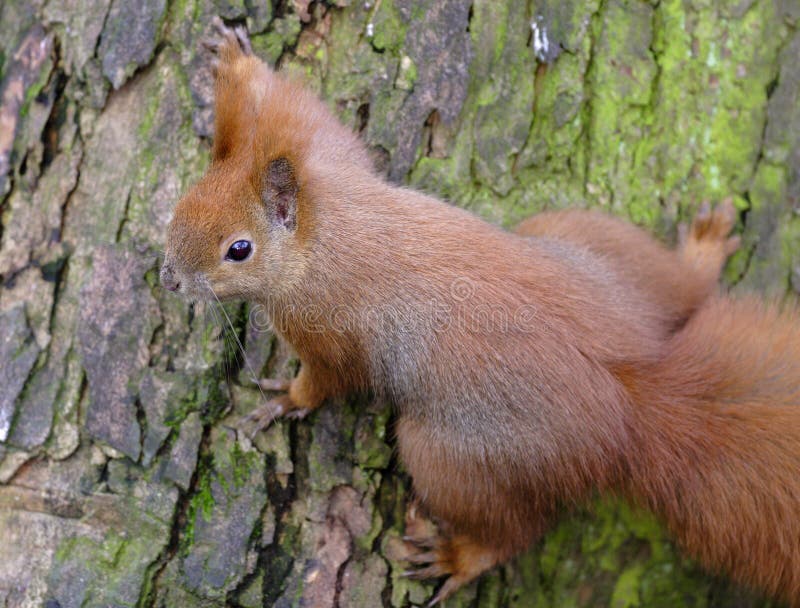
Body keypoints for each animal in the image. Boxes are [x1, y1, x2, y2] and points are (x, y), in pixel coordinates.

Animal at [160, 19, 800, 606]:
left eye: (239, 250)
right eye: (184, 201)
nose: (170, 278)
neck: (321, 231)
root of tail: (629, 402)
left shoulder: (326, 326)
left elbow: (328, 380)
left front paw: (283, 402)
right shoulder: (325, 157)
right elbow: (294, 109)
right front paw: (233, 62)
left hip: (466, 458)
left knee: (511, 530)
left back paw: (460, 557)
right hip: (601, 248)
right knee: (685, 288)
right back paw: (704, 250)